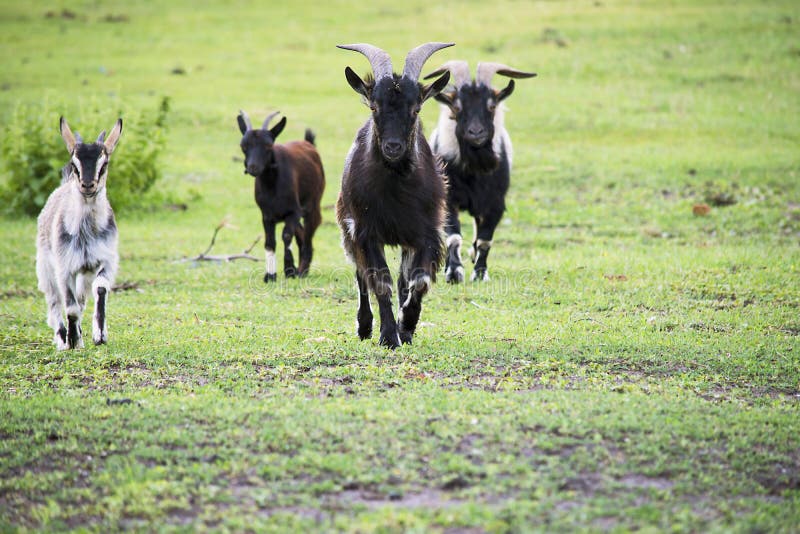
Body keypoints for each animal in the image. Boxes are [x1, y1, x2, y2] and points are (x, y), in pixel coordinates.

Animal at [36, 117, 123, 349]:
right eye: (75, 164)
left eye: (104, 164)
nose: (87, 185)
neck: (87, 232)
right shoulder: (64, 266)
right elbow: (71, 306)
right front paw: (72, 341)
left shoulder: (104, 259)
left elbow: (99, 290)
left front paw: (99, 335)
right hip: (45, 267)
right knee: (54, 301)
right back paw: (62, 337)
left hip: (84, 272)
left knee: (82, 298)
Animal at [237, 111, 325, 282]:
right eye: (243, 146)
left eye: (268, 145)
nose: (253, 167)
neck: (272, 187)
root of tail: (308, 144)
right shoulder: (267, 215)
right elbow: (270, 242)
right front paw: (270, 276)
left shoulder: (293, 211)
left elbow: (286, 236)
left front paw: (289, 270)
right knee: (302, 234)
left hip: (312, 204)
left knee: (309, 232)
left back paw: (302, 270)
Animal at [336, 42, 453, 348]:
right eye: (374, 106)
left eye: (416, 108)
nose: (392, 147)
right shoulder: (365, 232)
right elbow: (379, 281)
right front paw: (389, 336)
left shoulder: (426, 233)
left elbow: (417, 281)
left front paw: (407, 324)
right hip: (348, 229)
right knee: (361, 275)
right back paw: (365, 327)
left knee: (403, 279)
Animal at [423, 61, 536, 282]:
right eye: (457, 107)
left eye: (491, 106)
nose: (476, 133)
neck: (474, 171)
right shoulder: (450, 199)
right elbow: (453, 236)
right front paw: (454, 272)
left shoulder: (495, 204)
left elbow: (485, 240)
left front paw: (480, 273)